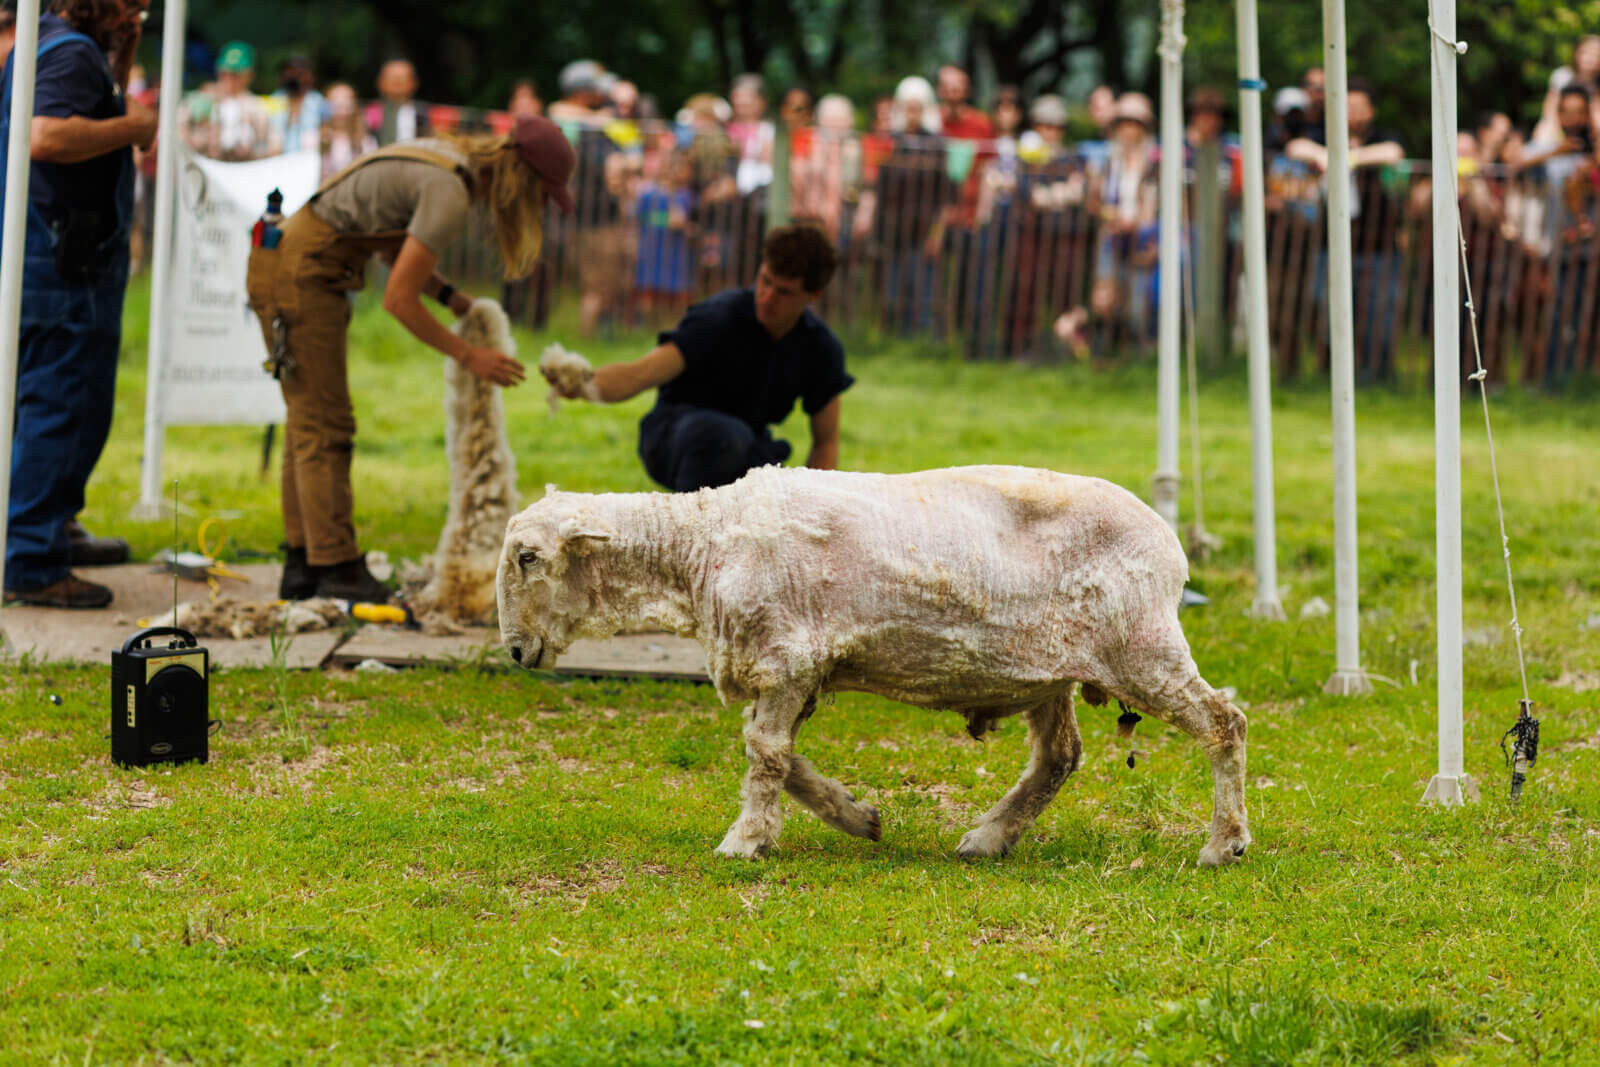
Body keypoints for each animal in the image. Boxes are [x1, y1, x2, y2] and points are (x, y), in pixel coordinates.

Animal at [497, 464, 1250, 867]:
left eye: (528, 557)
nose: (515, 652)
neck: (698, 545)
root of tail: (1171, 547)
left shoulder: (787, 655)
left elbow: (764, 754)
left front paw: (746, 839)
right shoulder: (797, 668)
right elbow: (781, 757)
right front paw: (858, 818)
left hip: (1141, 645)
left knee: (1226, 723)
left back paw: (1225, 844)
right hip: (1048, 670)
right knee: (1059, 756)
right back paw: (988, 836)